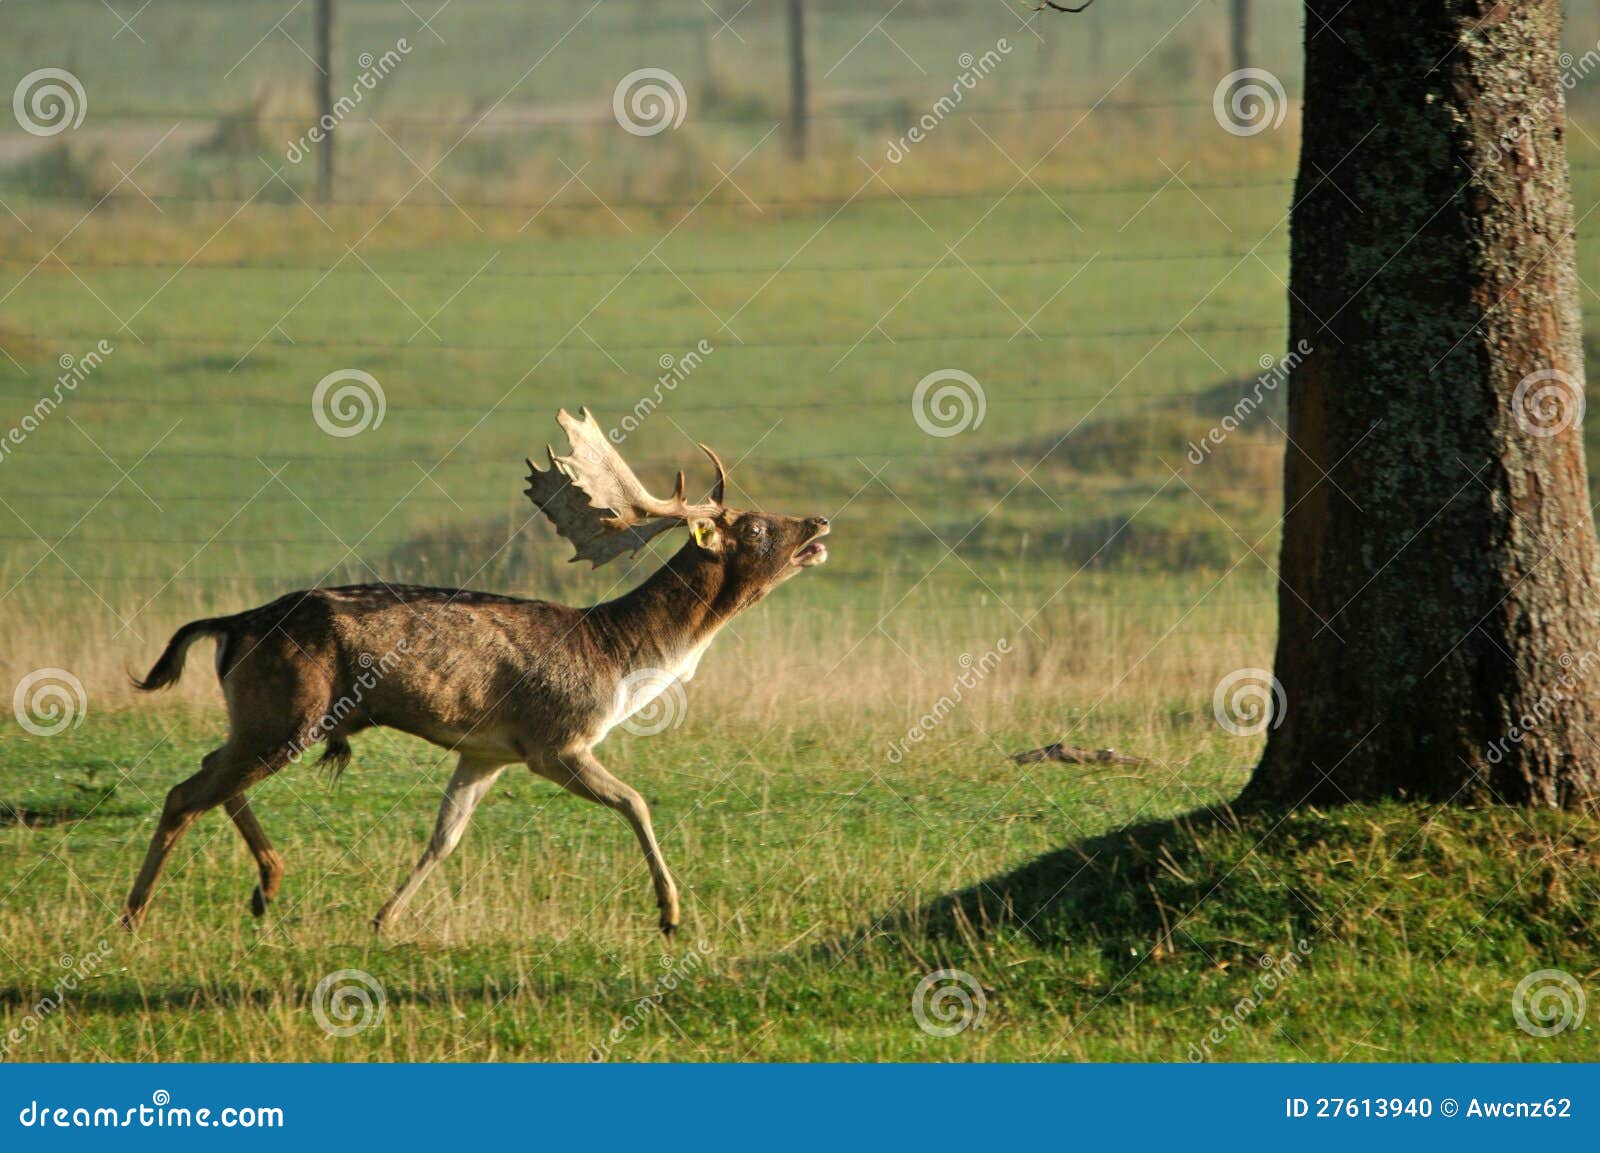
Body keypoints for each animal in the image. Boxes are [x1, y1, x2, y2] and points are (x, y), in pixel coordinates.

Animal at [120, 408, 830, 937]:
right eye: (757, 528)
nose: (818, 520)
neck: (618, 658)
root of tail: (231, 624)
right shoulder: (555, 740)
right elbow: (636, 800)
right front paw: (670, 914)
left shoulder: (487, 752)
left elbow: (445, 837)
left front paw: (383, 918)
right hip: (290, 711)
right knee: (186, 792)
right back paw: (134, 916)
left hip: (265, 717)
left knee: (212, 772)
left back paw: (266, 887)